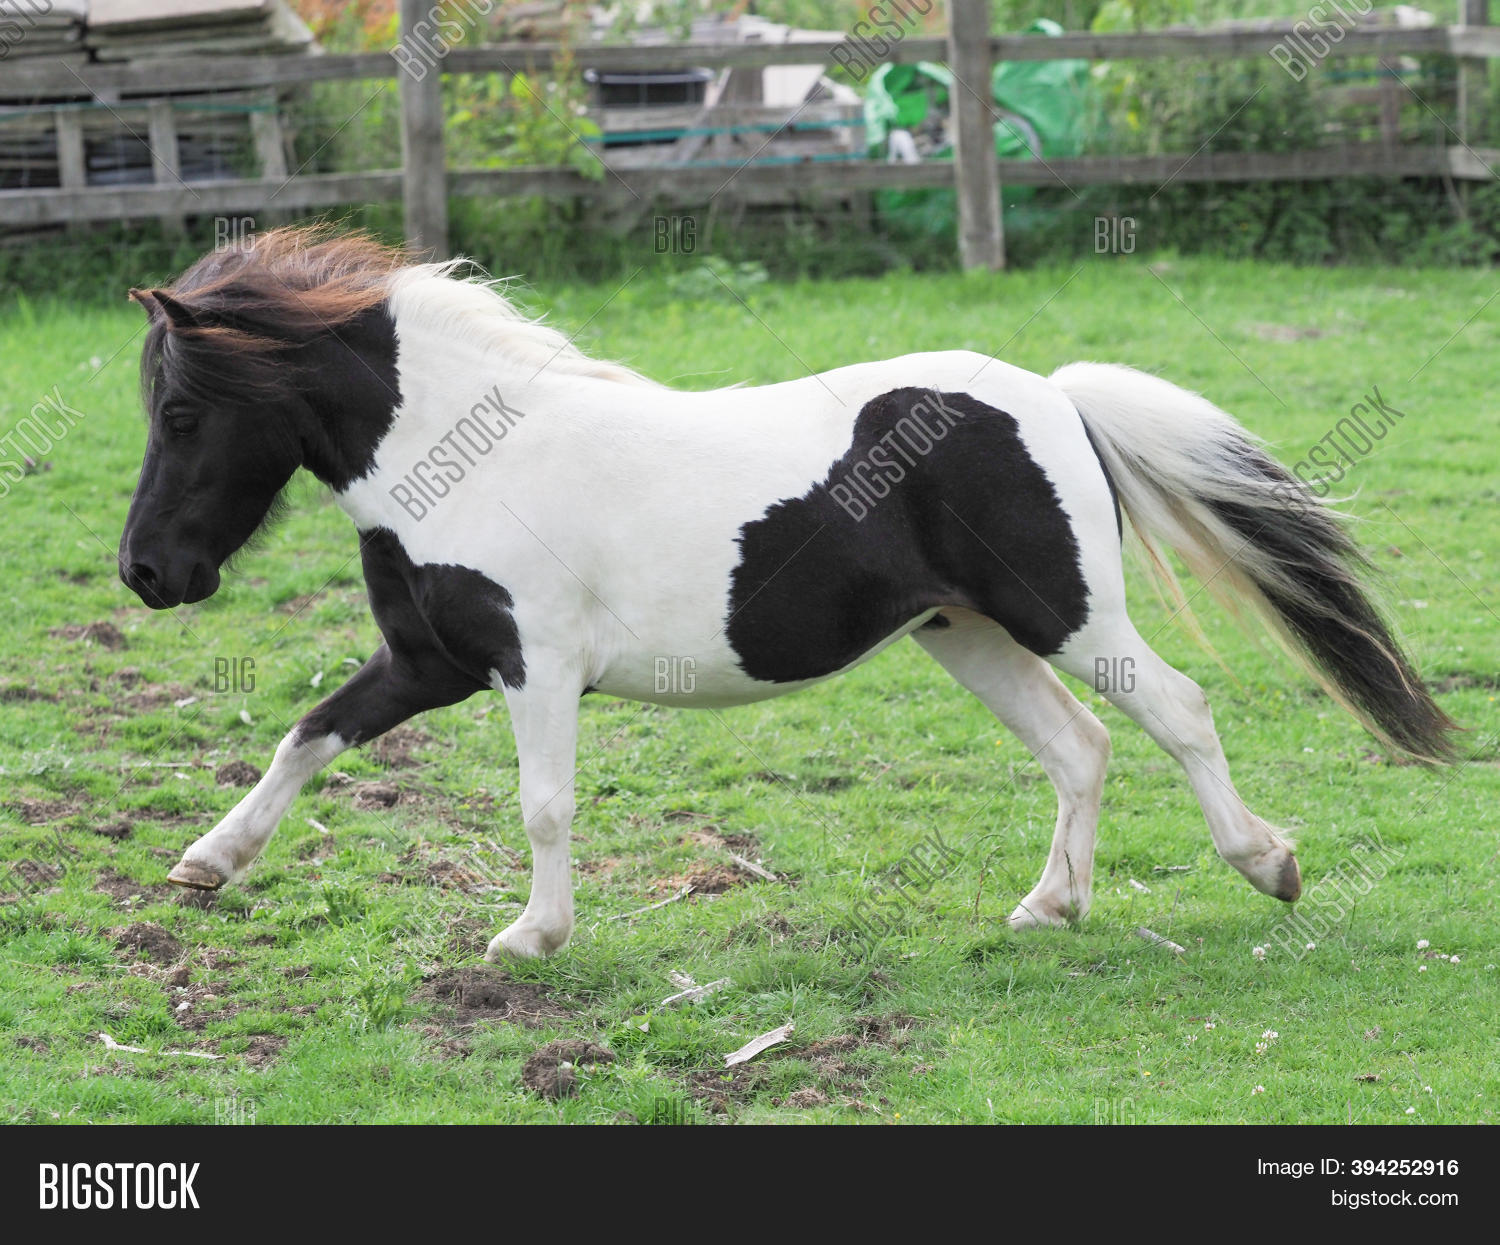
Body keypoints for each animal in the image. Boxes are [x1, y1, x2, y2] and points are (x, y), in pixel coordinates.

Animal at [117, 227, 1455, 961]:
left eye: (181, 413)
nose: (146, 574)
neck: (468, 454)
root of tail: (1056, 395)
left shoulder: (532, 668)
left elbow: (543, 807)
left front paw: (531, 938)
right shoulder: (429, 662)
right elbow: (307, 737)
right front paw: (204, 866)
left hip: (1067, 616)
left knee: (1173, 710)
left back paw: (1268, 866)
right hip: (964, 634)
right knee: (1078, 746)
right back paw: (1048, 908)